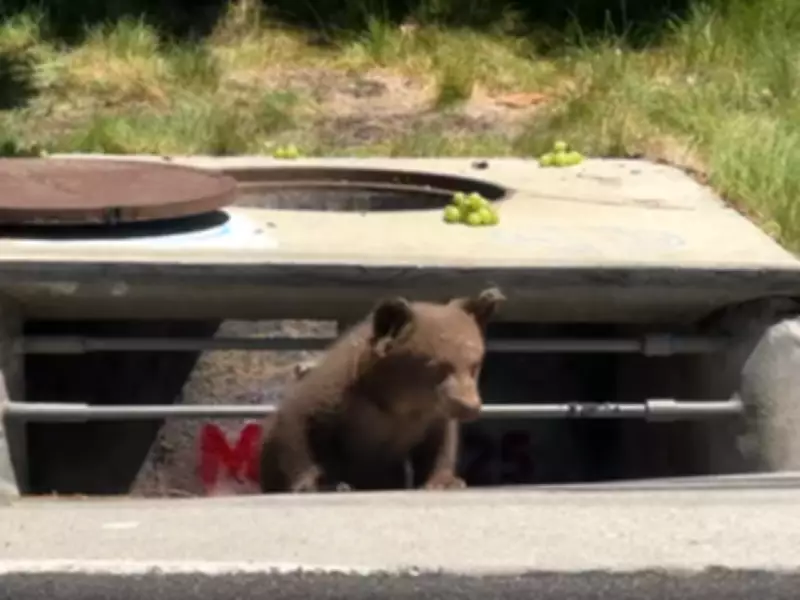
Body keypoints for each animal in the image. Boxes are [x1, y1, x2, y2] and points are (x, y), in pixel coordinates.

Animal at [258, 286, 505, 494]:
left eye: (475, 364)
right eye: (437, 366)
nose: (469, 406)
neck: (397, 400)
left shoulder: (429, 415)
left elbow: (440, 441)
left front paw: (445, 481)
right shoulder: (336, 395)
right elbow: (298, 423)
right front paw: (319, 483)